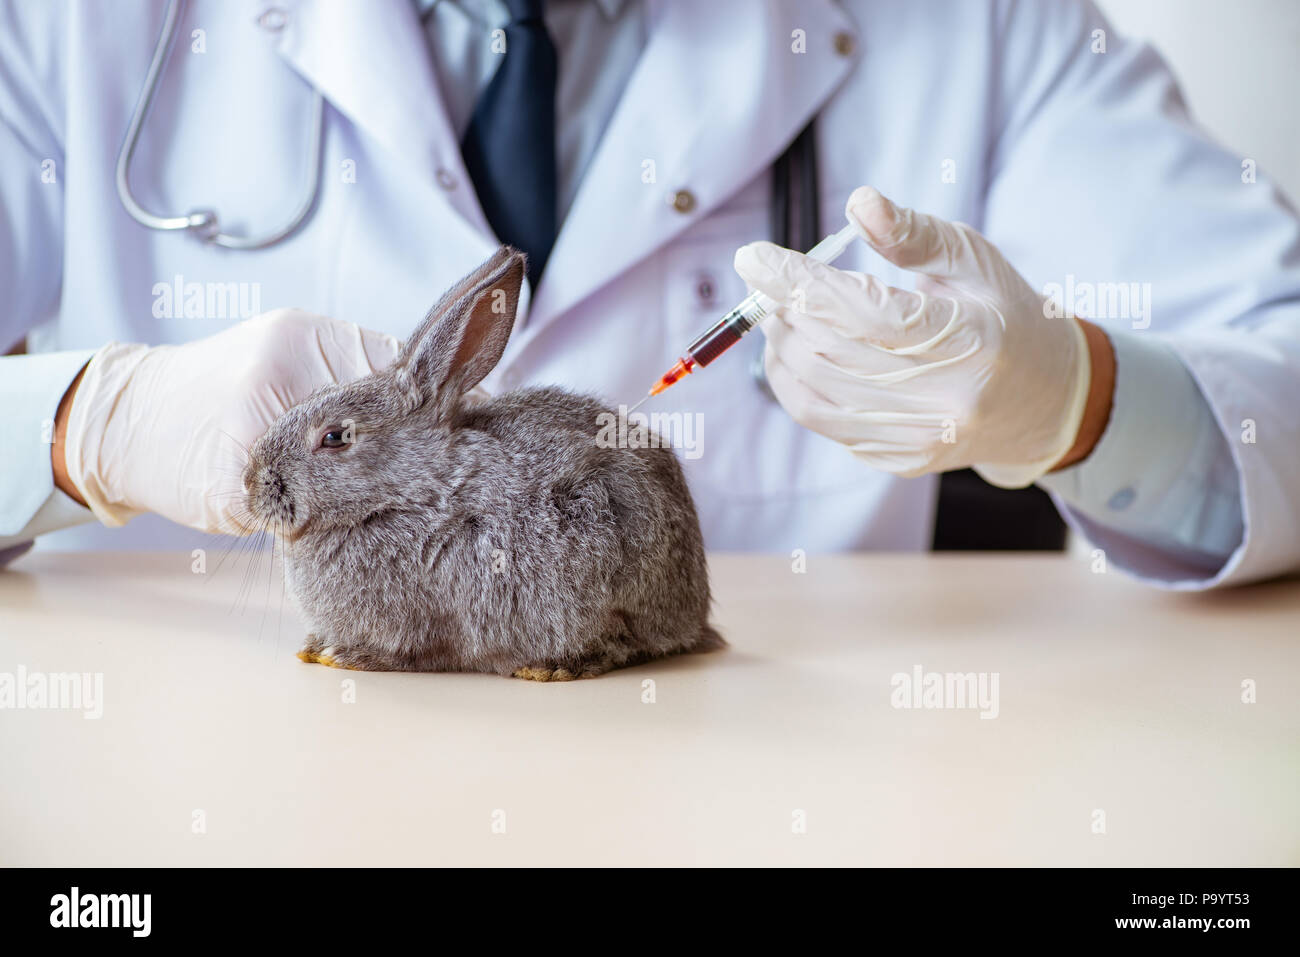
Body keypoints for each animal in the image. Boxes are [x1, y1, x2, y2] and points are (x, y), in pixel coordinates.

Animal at [242, 247, 724, 680]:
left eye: (334, 437)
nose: (251, 485)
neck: (413, 493)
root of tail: (695, 612)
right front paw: (315, 646)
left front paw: (343, 655)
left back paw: (553, 667)